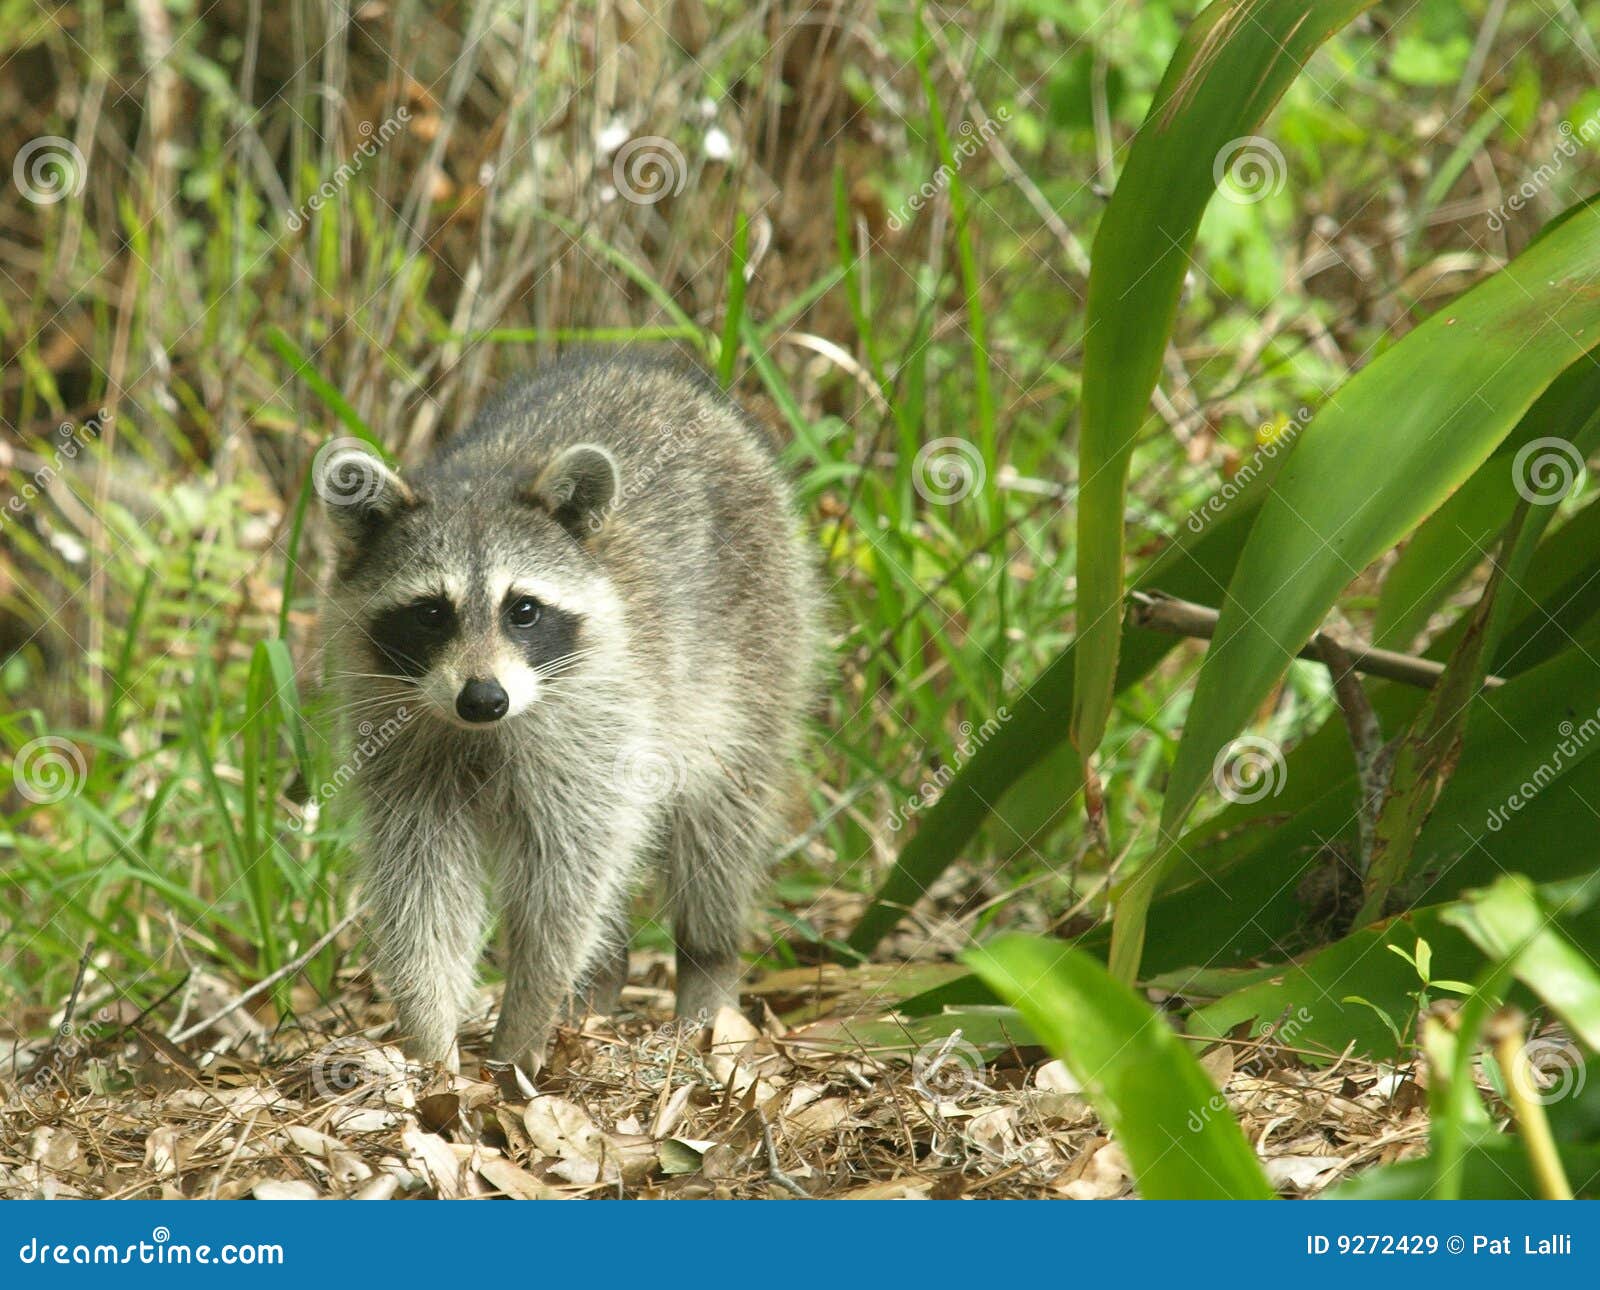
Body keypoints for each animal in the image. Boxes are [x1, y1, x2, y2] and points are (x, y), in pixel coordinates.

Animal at [317, 353, 820, 1071]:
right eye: (431, 613)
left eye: (522, 610)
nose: (484, 699)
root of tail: (653, 372)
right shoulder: (400, 739)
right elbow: (421, 883)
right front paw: (432, 1043)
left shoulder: (599, 720)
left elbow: (569, 877)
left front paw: (522, 1027)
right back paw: (599, 992)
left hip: (760, 638)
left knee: (720, 822)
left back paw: (707, 974)